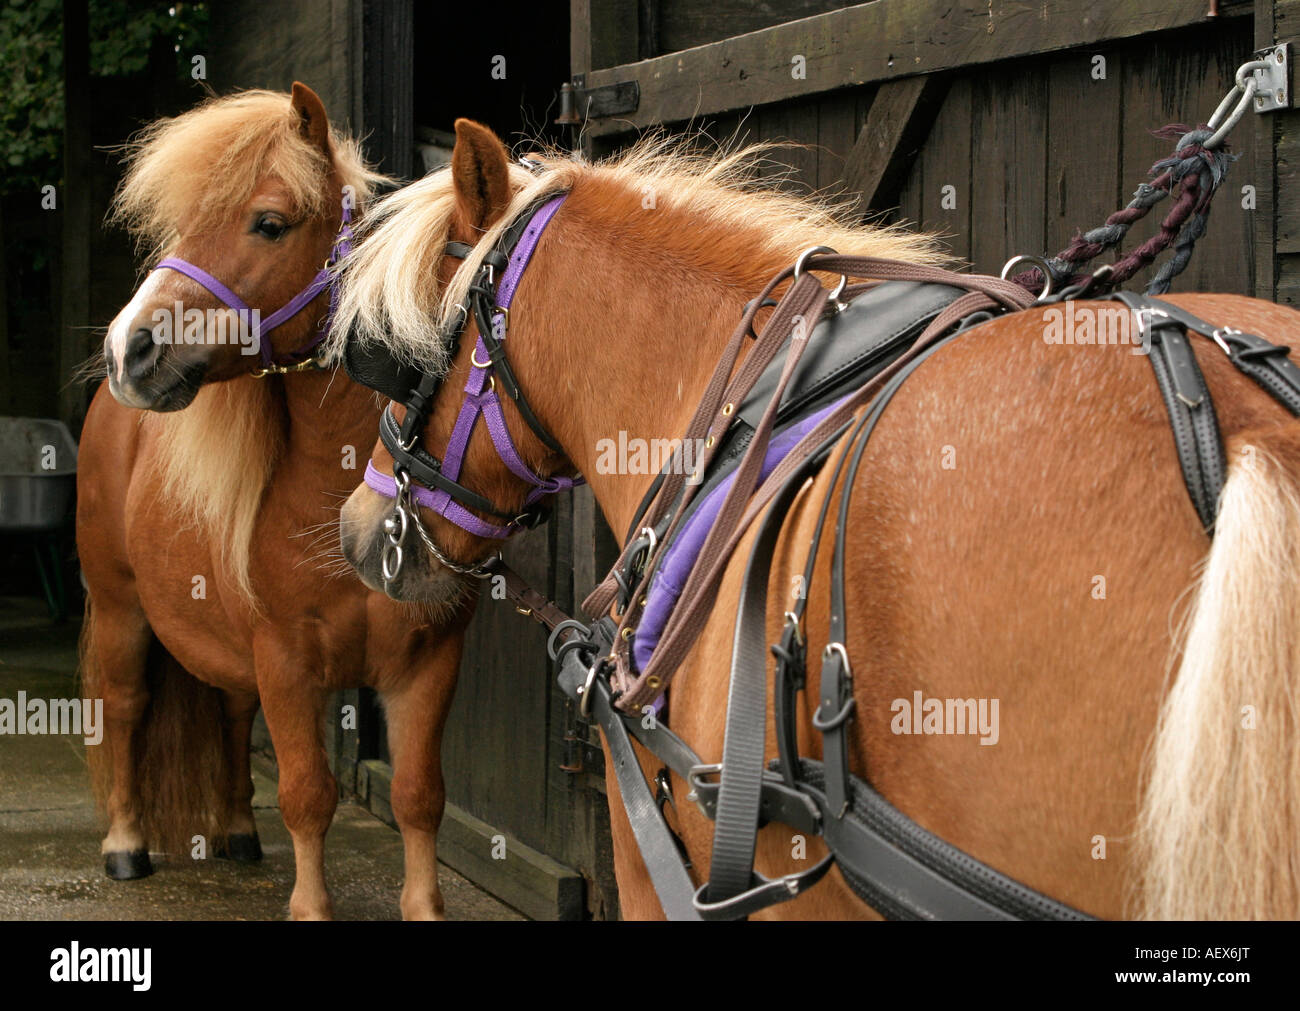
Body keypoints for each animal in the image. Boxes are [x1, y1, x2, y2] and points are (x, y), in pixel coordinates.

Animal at [78, 84, 470, 920]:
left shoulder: (428, 657)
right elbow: (306, 793)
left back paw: (235, 832)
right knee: (125, 706)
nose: (130, 348)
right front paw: (311, 906)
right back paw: (125, 844)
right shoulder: (287, 656)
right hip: (122, 608)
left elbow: (419, 795)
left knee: (229, 711)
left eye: (268, 222)